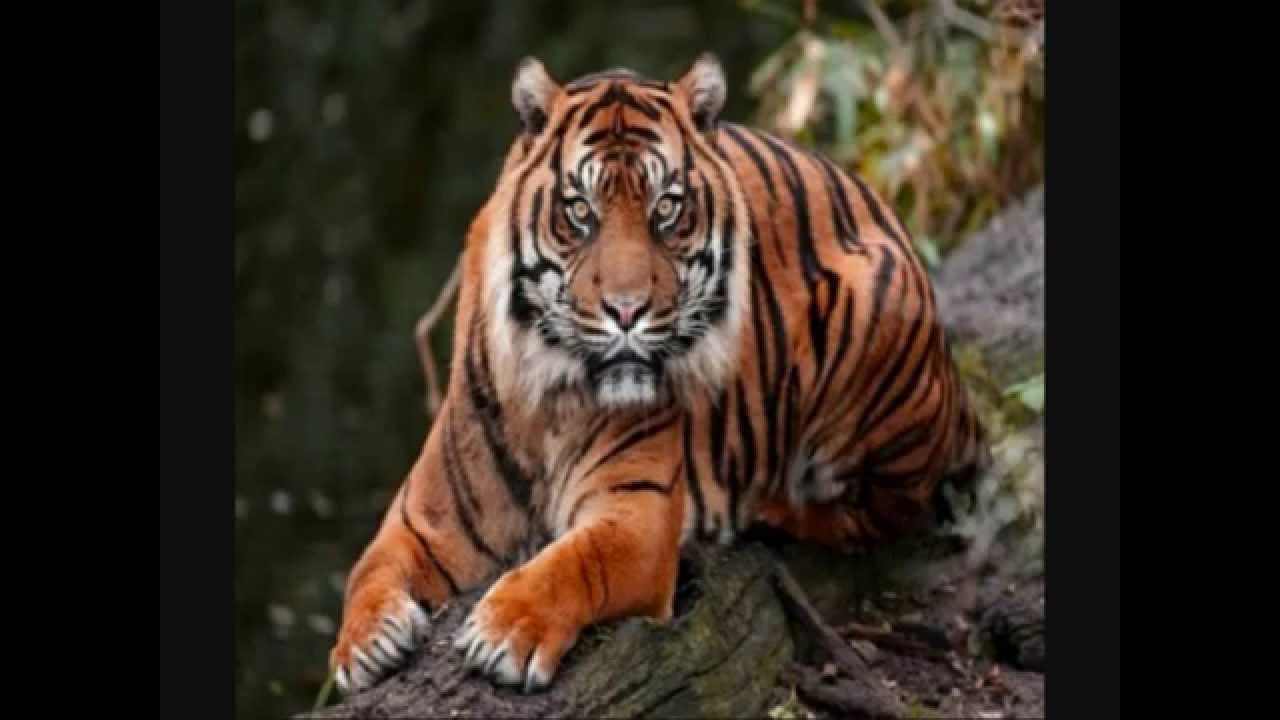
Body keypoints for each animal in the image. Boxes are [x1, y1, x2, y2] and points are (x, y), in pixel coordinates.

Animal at [329, 53, 988, 695]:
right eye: (579, 211)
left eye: (666, 208)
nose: (627, 311)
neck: (547, 398)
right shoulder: (423, 522)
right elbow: (366, 567)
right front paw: (364, 644)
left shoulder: (636, 515)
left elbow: (574, 561)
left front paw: (505, 629)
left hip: (874, 309)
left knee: (883, 512)